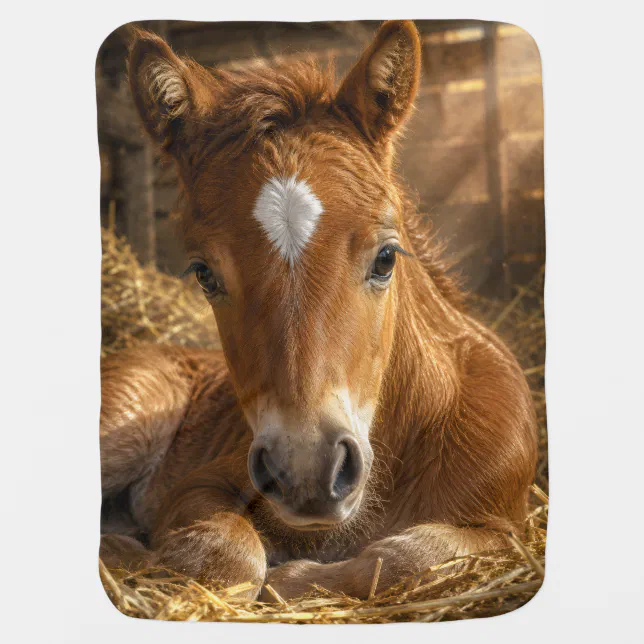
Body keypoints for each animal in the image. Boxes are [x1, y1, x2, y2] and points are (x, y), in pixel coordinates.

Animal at [99, 20, 538, 601]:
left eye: (386, 257)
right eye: (203, 273)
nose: (306, 473)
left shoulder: (505, 525)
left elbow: (413, 556)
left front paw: (298, 577)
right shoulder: (200, 484)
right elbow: (225, 556)